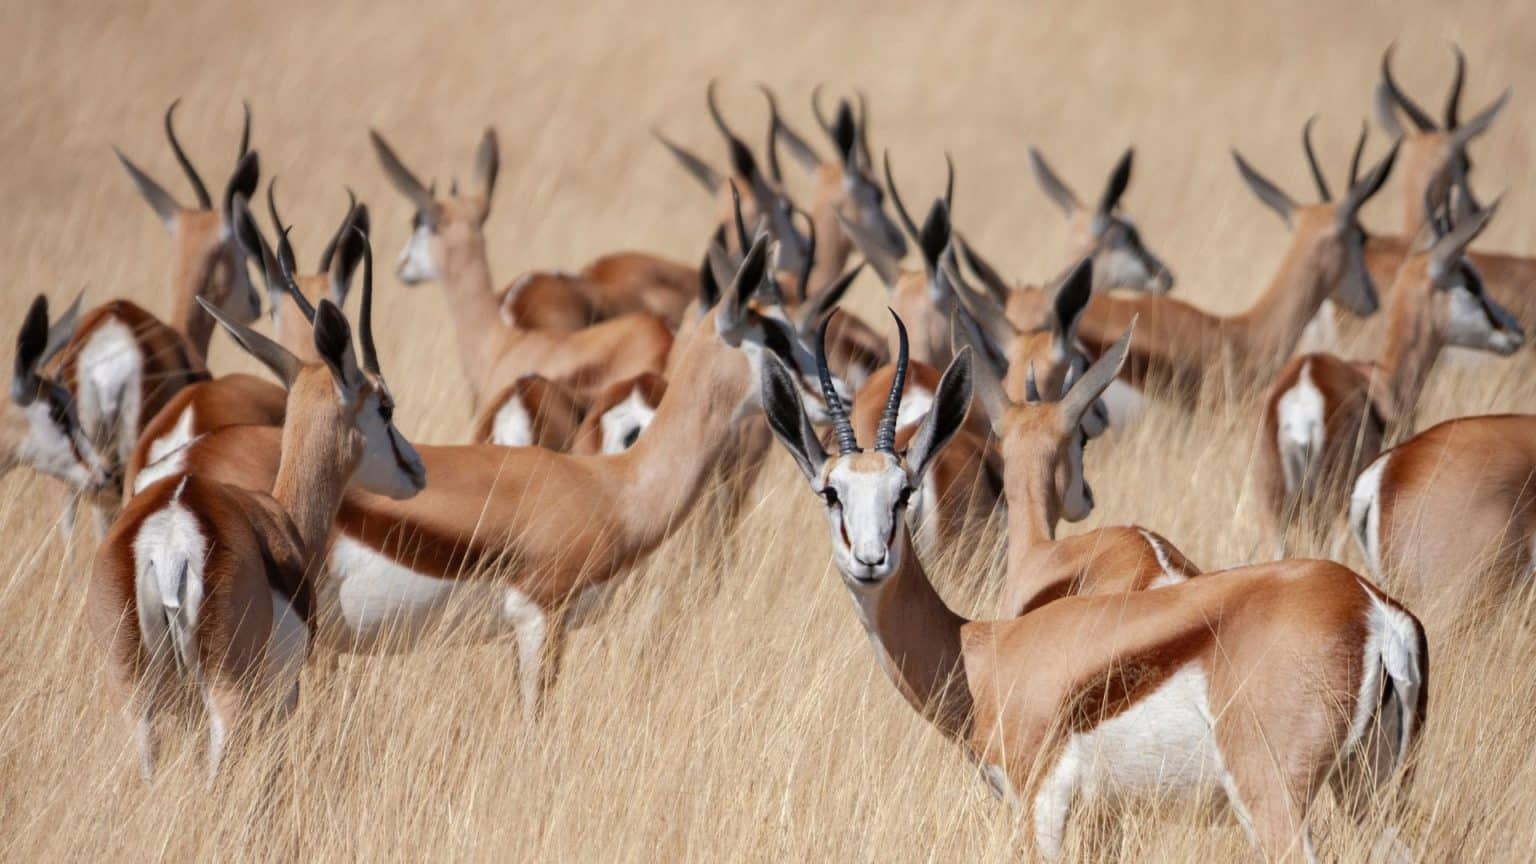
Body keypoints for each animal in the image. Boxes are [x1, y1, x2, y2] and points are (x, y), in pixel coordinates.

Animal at [88, 246, 426, 783]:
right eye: (386, 407)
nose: (416, 469)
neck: (282, 514)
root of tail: (171, 539)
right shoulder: (284, 697)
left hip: (134, 698)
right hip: (226, 699)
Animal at [760, 331, 1427, 862]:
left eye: (903, 491)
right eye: (831, 492)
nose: (871, 560)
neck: (980, 655)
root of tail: (1372, 607)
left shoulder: (1041, 808)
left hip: (1274, 800)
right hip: (1368, 793)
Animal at [1259, 174, 1524, 557]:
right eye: (1472, 283)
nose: (1515, 331)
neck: (1383, 377)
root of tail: (1302, 392)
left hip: (1275, 516)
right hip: (1336, 513)